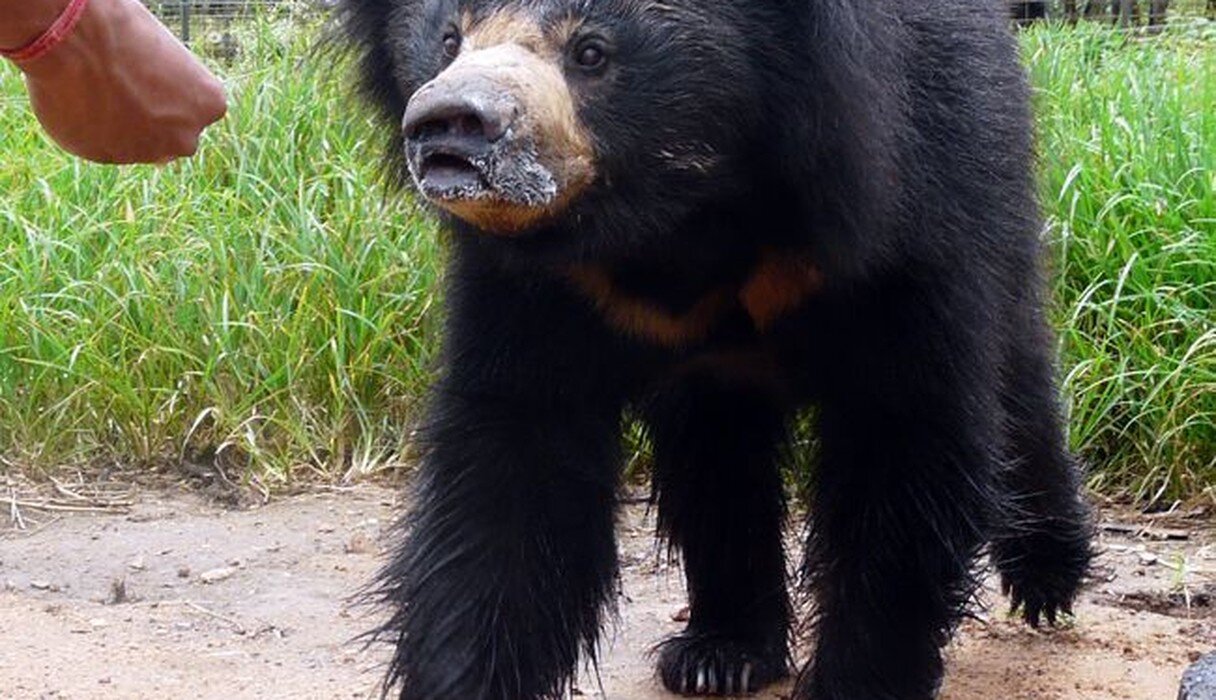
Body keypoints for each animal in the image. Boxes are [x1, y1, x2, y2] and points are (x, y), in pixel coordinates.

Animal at [338, 0, 1095, 698]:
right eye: (448, 39)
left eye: (591, 52)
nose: (447, 125)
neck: (682, 212)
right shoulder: (541, 286)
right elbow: (510, 477)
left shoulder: (906, 221)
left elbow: (904, 446)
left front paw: (859, 680)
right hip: (712, 379)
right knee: (717, 461)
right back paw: (721, 653)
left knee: (1019, 377)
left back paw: (1048, 576)